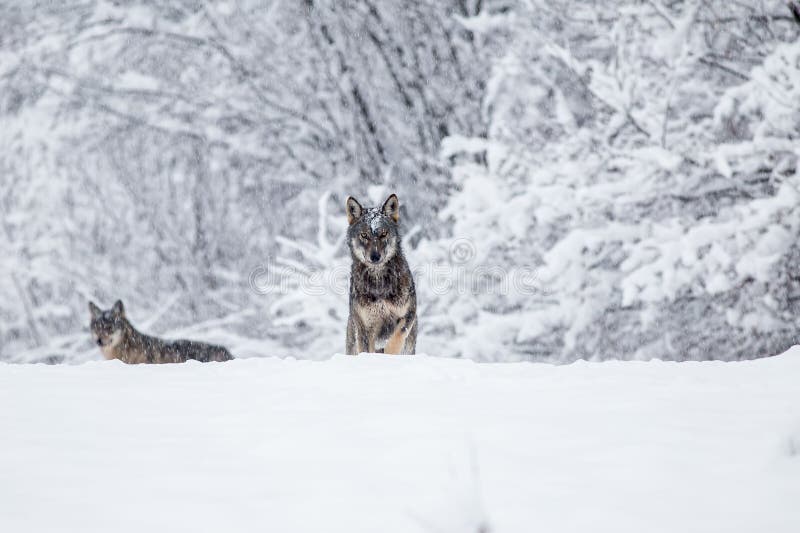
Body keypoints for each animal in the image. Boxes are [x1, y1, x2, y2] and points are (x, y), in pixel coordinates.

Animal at [345, 193, 417, 355]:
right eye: (364, 235)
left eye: (383, 233)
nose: (375, 256)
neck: (379, 281)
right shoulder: (365, 328)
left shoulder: (408, 314)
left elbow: (395, 339)